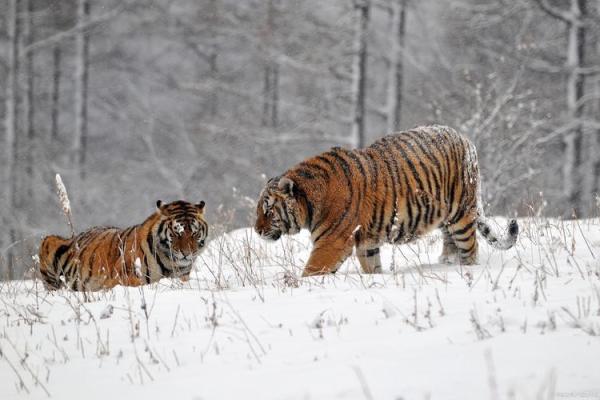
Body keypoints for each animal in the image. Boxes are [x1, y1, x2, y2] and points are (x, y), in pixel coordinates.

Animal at [38, 200, 209, 290]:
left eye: (195, 233)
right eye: (176, 232)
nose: (187, 253)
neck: (170, 262)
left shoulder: (183, 276)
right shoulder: (118, 279)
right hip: (48, 243)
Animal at [253, 124, 516, 276]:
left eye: (268, 210)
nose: (256, 230)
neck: (311, 202)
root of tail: (466, 139)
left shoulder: (331, 243)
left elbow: (311, 271)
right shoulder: (366, 243)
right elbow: (372, 266)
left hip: (462, 215)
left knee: (470, 248)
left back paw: (464, 270)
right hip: (445, 219)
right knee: (449, 240)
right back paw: (446, 262)